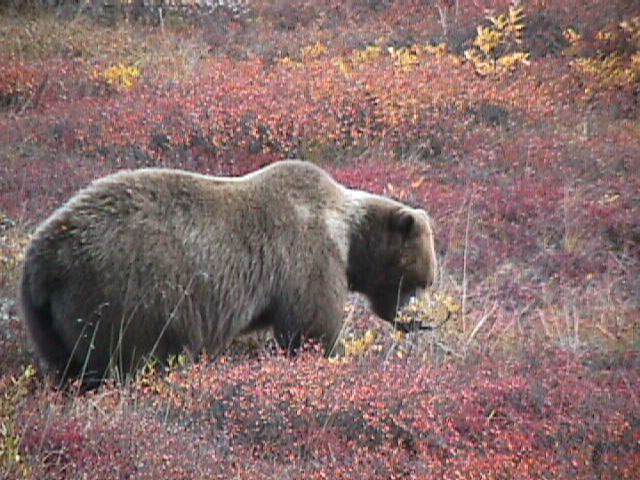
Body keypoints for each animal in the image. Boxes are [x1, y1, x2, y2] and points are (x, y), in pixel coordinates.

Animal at [19, 160, 437, 387]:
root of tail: (44, 259)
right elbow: (312, 326)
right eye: (418, 282)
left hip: (46, 317)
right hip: (122, 294)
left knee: (67, 365)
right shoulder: (309, 256)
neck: (347, 235)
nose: (422, 321)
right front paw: (332, 357)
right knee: (128, 359)